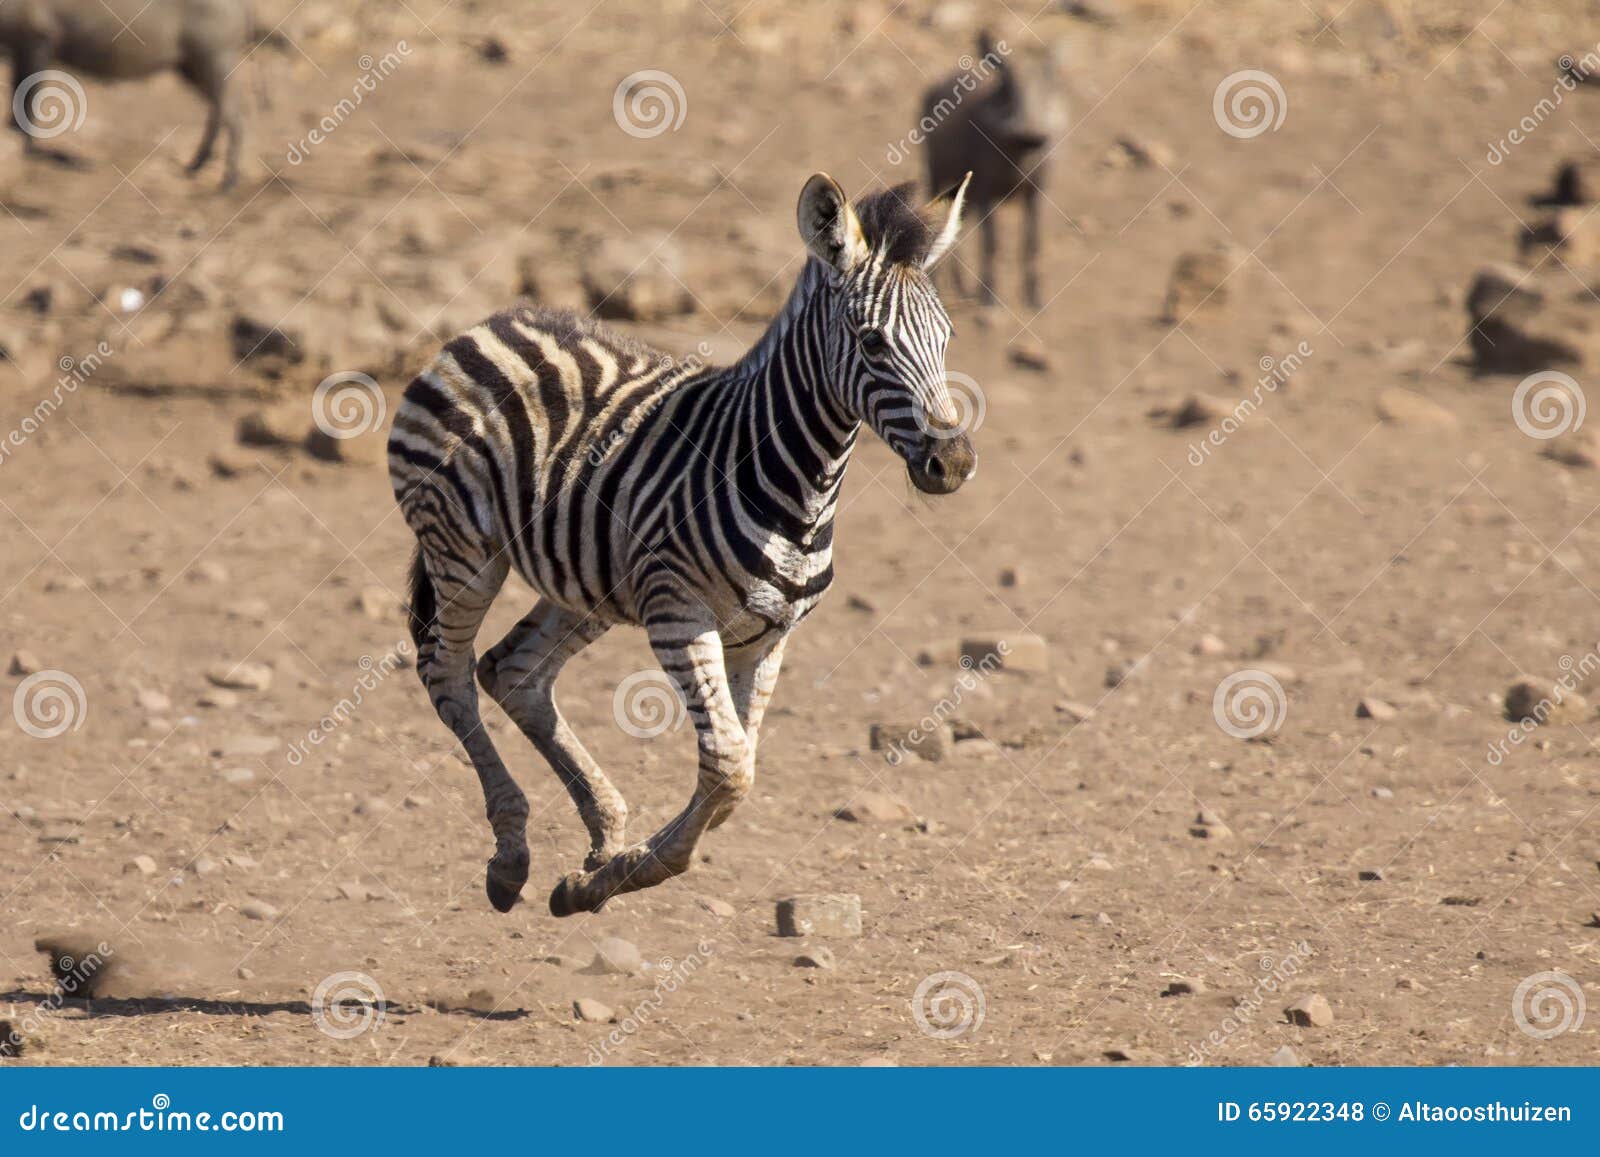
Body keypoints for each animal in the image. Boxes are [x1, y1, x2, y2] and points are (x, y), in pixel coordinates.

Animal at [387, 171, 976, 916]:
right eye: (871, 343)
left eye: (948, 337)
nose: (953, 463)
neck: (796, 485)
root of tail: (483, 326)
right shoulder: (678, 616)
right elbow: (729, 767)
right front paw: (633, 871)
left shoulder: (767, 638)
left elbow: (736, 772)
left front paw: (602, 876)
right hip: (464, 548)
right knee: (447, 670)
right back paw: (511, 856)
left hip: (586, 581)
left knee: (512, 671)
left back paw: (602, 830)